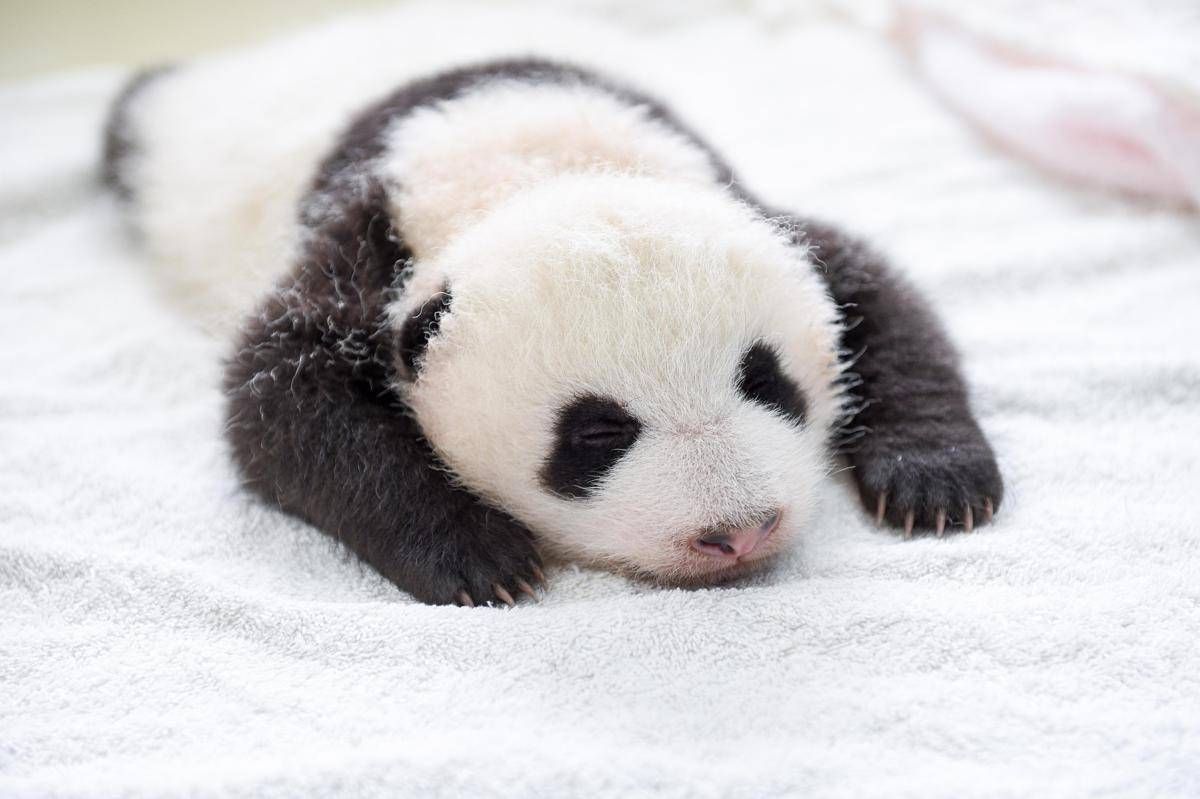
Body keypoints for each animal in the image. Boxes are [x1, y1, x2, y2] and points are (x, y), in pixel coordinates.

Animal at [103, 56, 1003, 607]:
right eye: (596, 434)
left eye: (765, 379)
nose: (740, 532)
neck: (527, 160)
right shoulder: (365, 246)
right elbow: (279, 401)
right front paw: (478, 555)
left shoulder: (730, 192)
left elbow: (872, 289)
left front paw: (937, 482)